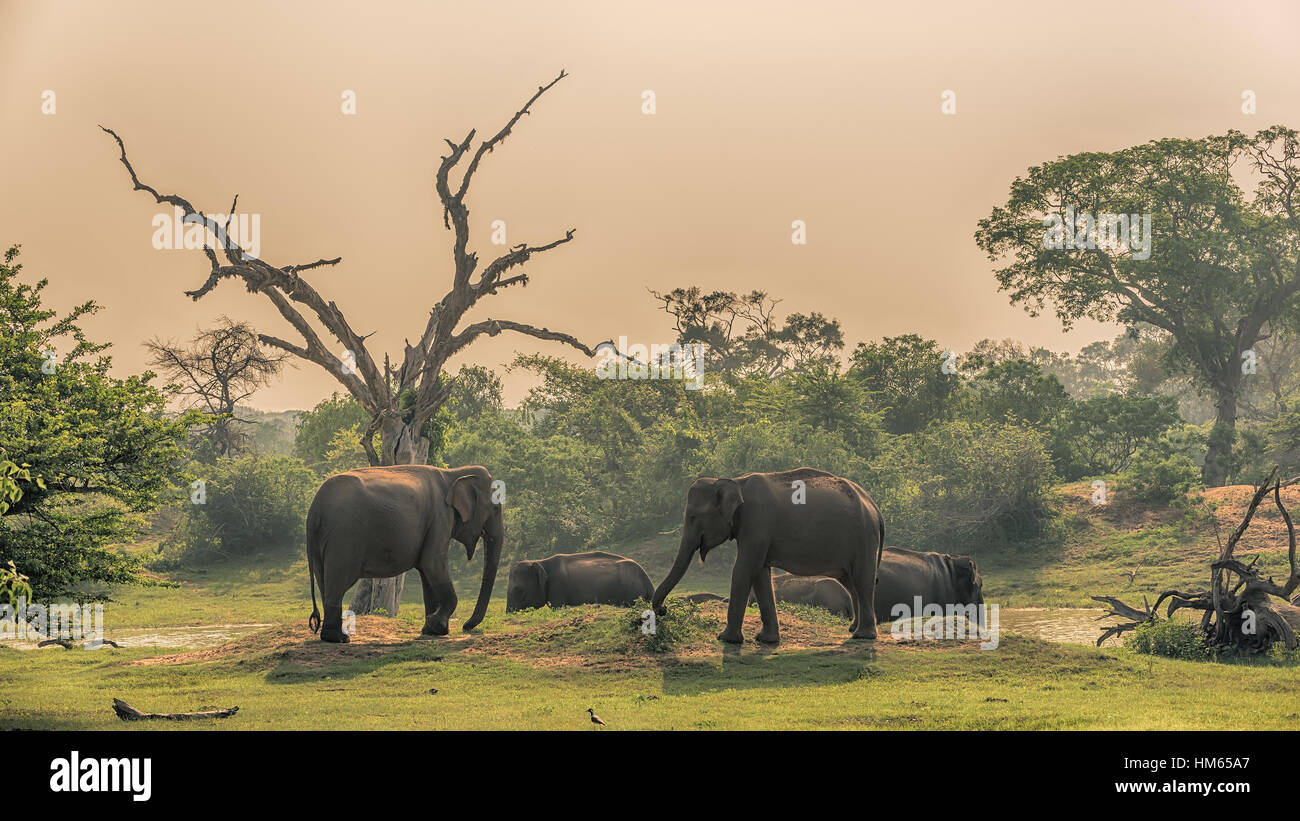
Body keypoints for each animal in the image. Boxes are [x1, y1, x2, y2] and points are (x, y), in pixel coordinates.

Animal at [306, 465, 503, 643]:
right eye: (495, 509)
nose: (465, 626)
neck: (454, 473)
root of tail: (314, 508)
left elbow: (426, 573)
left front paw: (432, 630)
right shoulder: (440, 517)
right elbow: (432, 563)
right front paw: (436, 625)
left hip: (323, 542)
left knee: (325, 582)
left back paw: (333, 636)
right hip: (343, 539)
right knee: (338, 582)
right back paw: (339, 638)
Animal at [505, 551, 654, 611]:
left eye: (518, 591)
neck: (542, 562)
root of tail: (648, 582)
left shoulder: (558, 587)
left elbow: (557, 607)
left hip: (632, 593)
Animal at [651, 467, 885, 644]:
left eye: (693, 517)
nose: (663, 610)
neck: (734, 481)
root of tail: (873, 505)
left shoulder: (757, 522)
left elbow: (744, 570)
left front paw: (726, 639)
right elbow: (760, 573)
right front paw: (766, 640)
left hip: (863, 537)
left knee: (862, 579)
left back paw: (863, 636)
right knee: (850, 582)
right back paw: (853, 628)